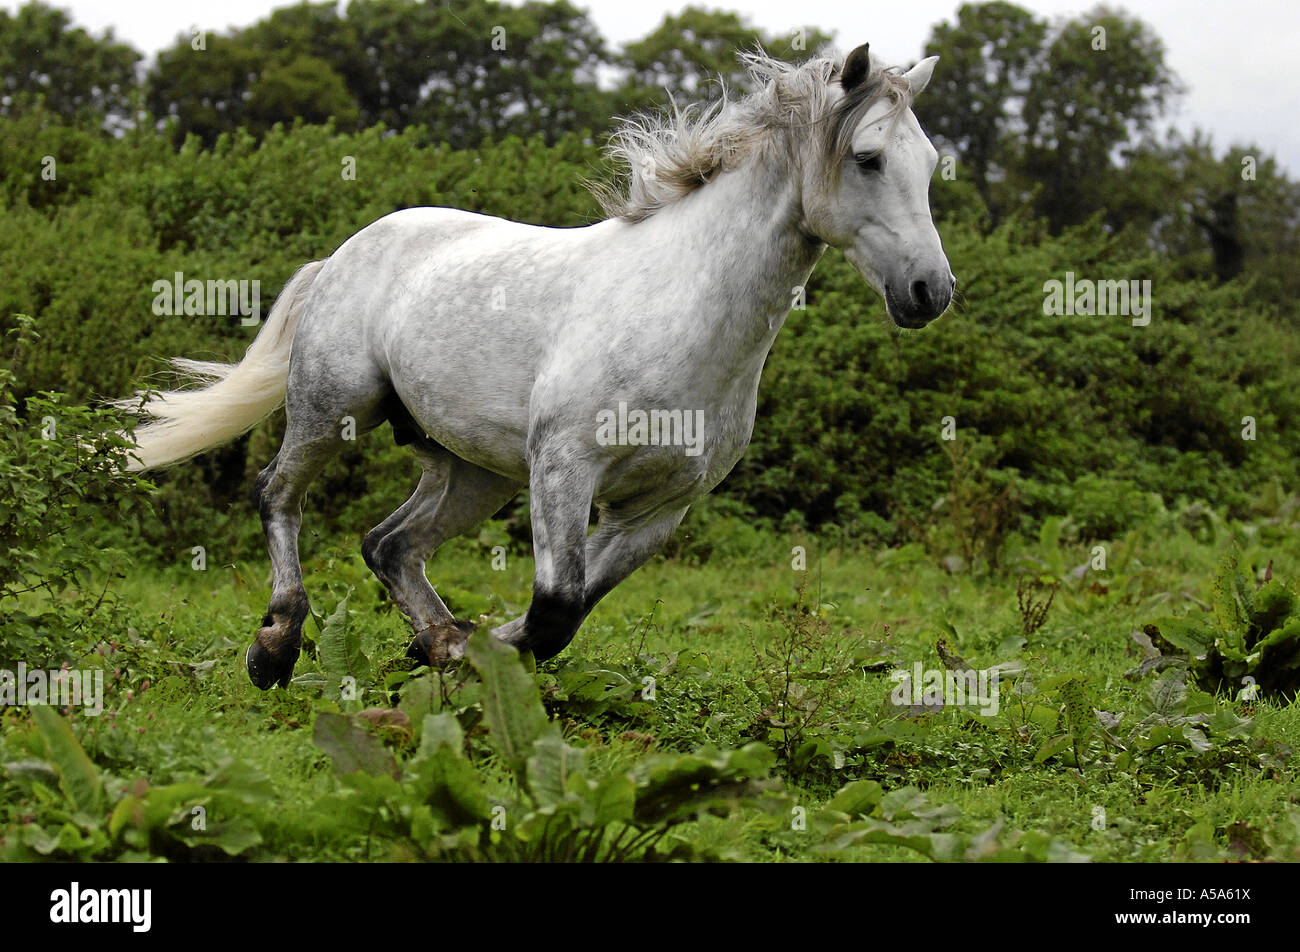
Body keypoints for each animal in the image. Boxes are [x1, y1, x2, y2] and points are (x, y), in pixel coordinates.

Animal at [117, 43, 955, 690]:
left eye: (930, 166)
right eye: (868, 158)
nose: (930, 292)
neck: (680, 312)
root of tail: (345, 252)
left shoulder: (662, 506)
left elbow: (569, 612)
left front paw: (455, 654)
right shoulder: (563, 466)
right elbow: (554, 607)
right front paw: (461, 657)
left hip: (471, 469)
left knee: (389, 545)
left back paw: (431, 639)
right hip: (334, 410)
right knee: (278, 497)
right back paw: (275, 649)